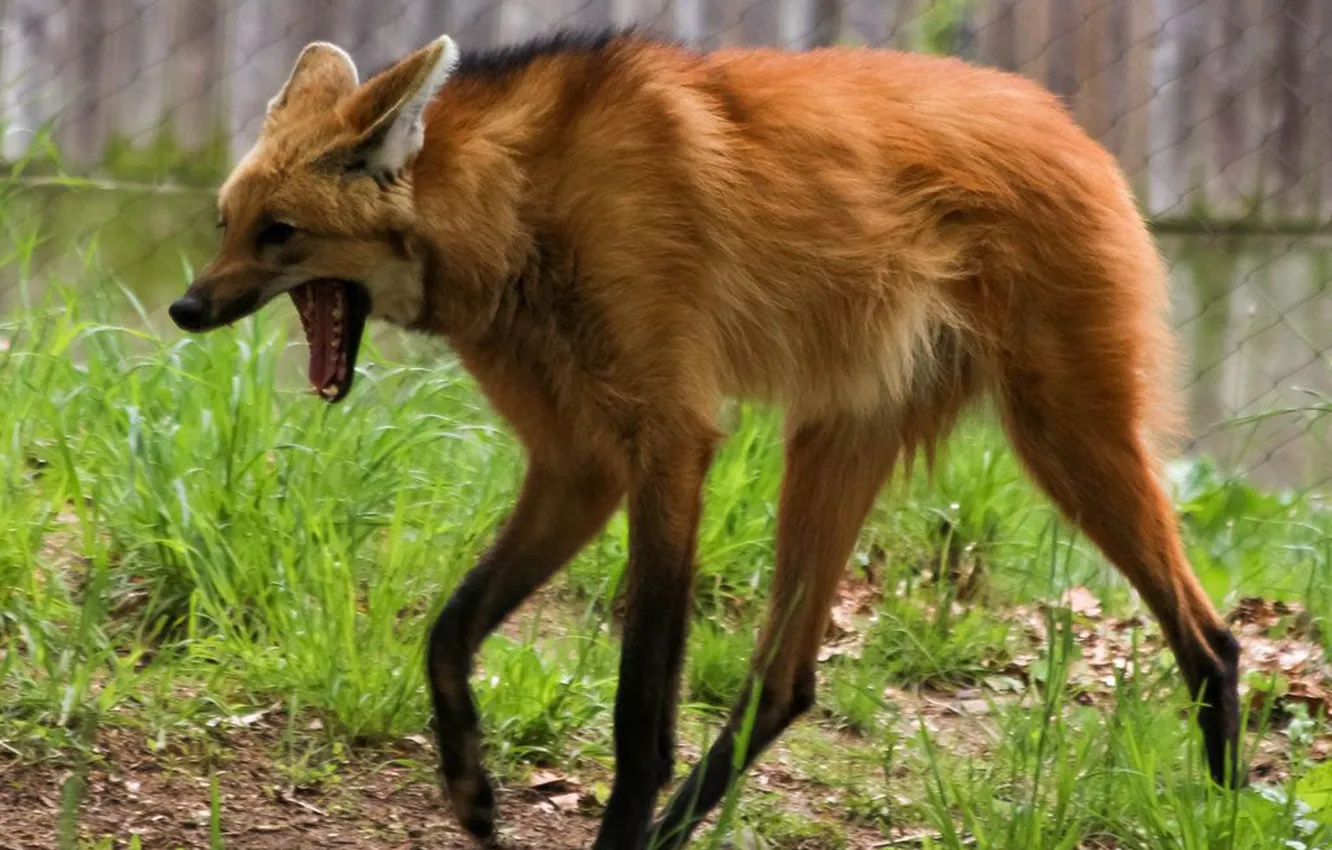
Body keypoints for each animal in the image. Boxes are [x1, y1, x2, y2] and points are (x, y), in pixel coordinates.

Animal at [168, 27, 1244, 849]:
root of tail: (1070, 123)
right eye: (224, 222)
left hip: (1064, 430)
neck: (520, 207)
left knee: (1211, 639)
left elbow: (639, 704)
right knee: (785, 680)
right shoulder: (579, 465)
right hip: (841, 433)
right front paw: (471, 790)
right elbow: (448, 629)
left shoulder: (669, 440)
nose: (186, 307)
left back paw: (1231, 809)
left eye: (277, 230)